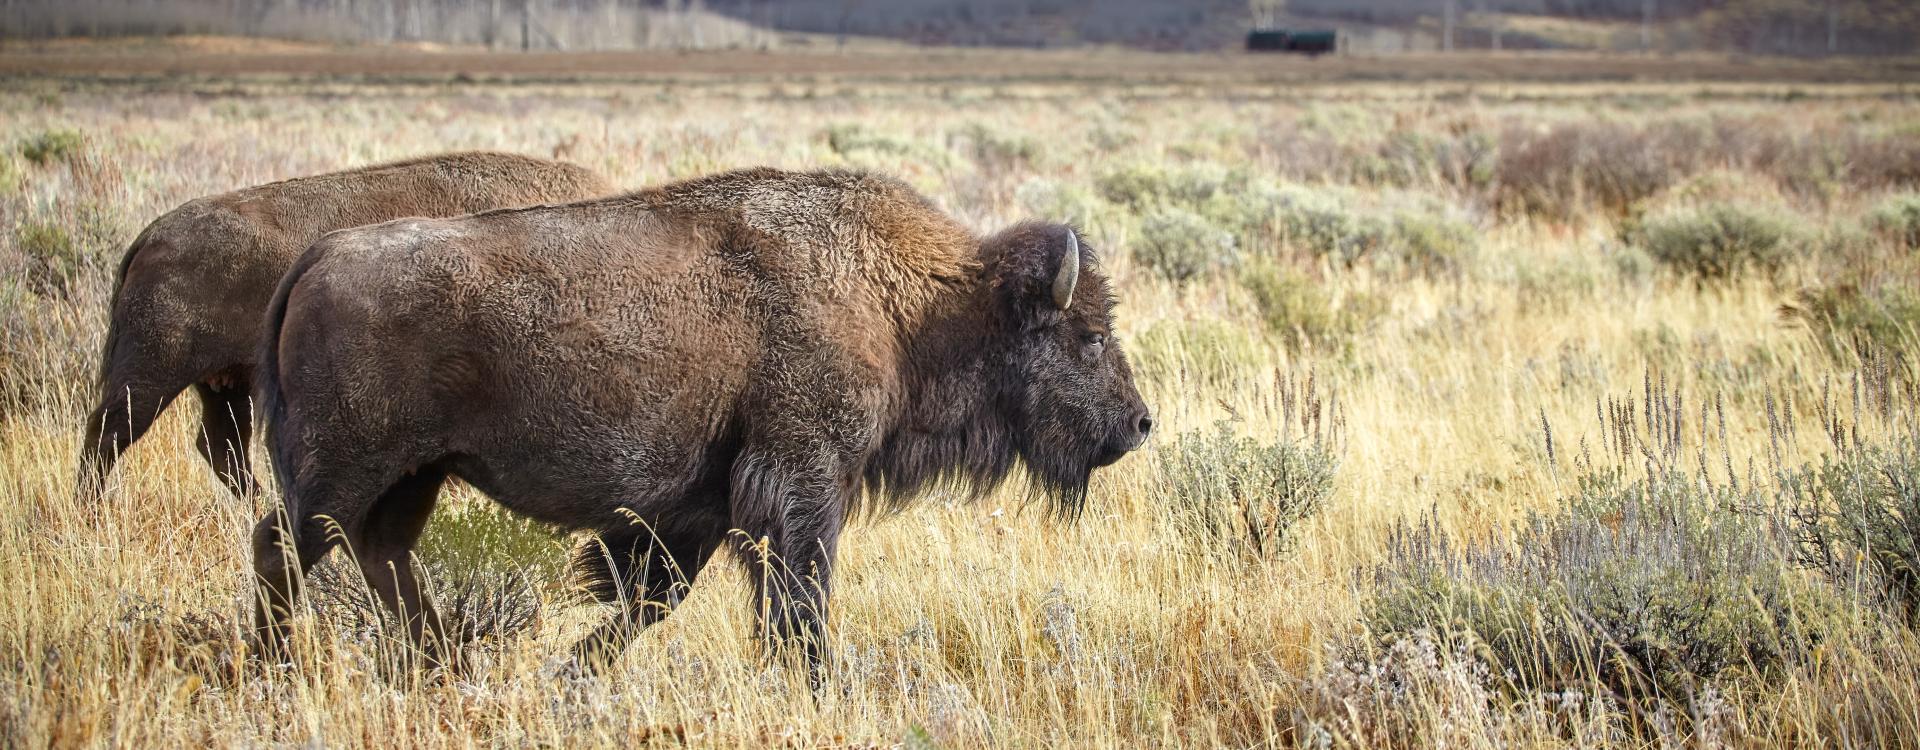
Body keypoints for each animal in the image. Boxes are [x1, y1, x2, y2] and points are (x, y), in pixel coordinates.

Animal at [77, 152, 611, 501]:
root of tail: (152, 234)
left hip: (226, 383)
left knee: (220, 446)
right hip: (153, 374)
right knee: (109, 433)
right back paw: (91, 511)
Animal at [253, 167, 1152, 682]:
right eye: (1087, 335)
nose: (1140, 424)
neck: (908, 305)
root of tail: (319, 256)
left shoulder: (700, 510)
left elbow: (656, 599)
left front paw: (569, 675)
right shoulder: (801, 481)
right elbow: (799, 594)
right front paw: (814, 685)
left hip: (414, 475)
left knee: (379, 553)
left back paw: (437, 667)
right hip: (345, 470)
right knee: (284, 545)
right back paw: (271, 669)